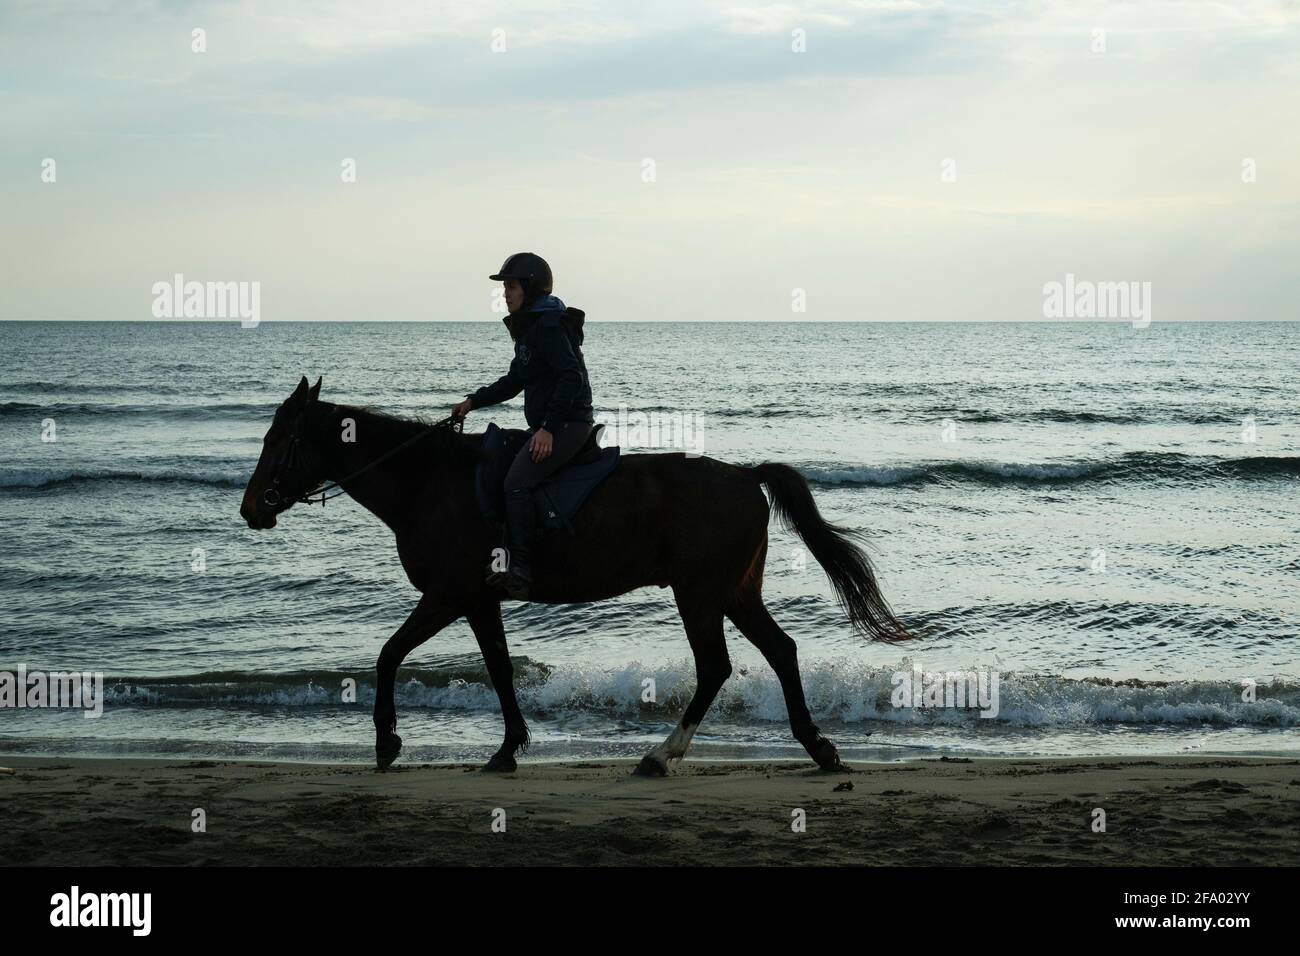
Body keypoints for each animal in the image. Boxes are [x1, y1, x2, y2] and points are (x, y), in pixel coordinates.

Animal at [240, 376, 911, 775]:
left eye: (278, 439)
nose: (251, 509)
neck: (428, 482)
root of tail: (748, 476)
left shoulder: (448, 595)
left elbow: (388, 655)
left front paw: (386, 743)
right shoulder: (478, 602)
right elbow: (499, 670)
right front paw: (507, 748)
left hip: (701, 594)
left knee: (717, 667)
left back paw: (663, 755)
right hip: (733, 593)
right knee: (780, 651)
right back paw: (817, 746)